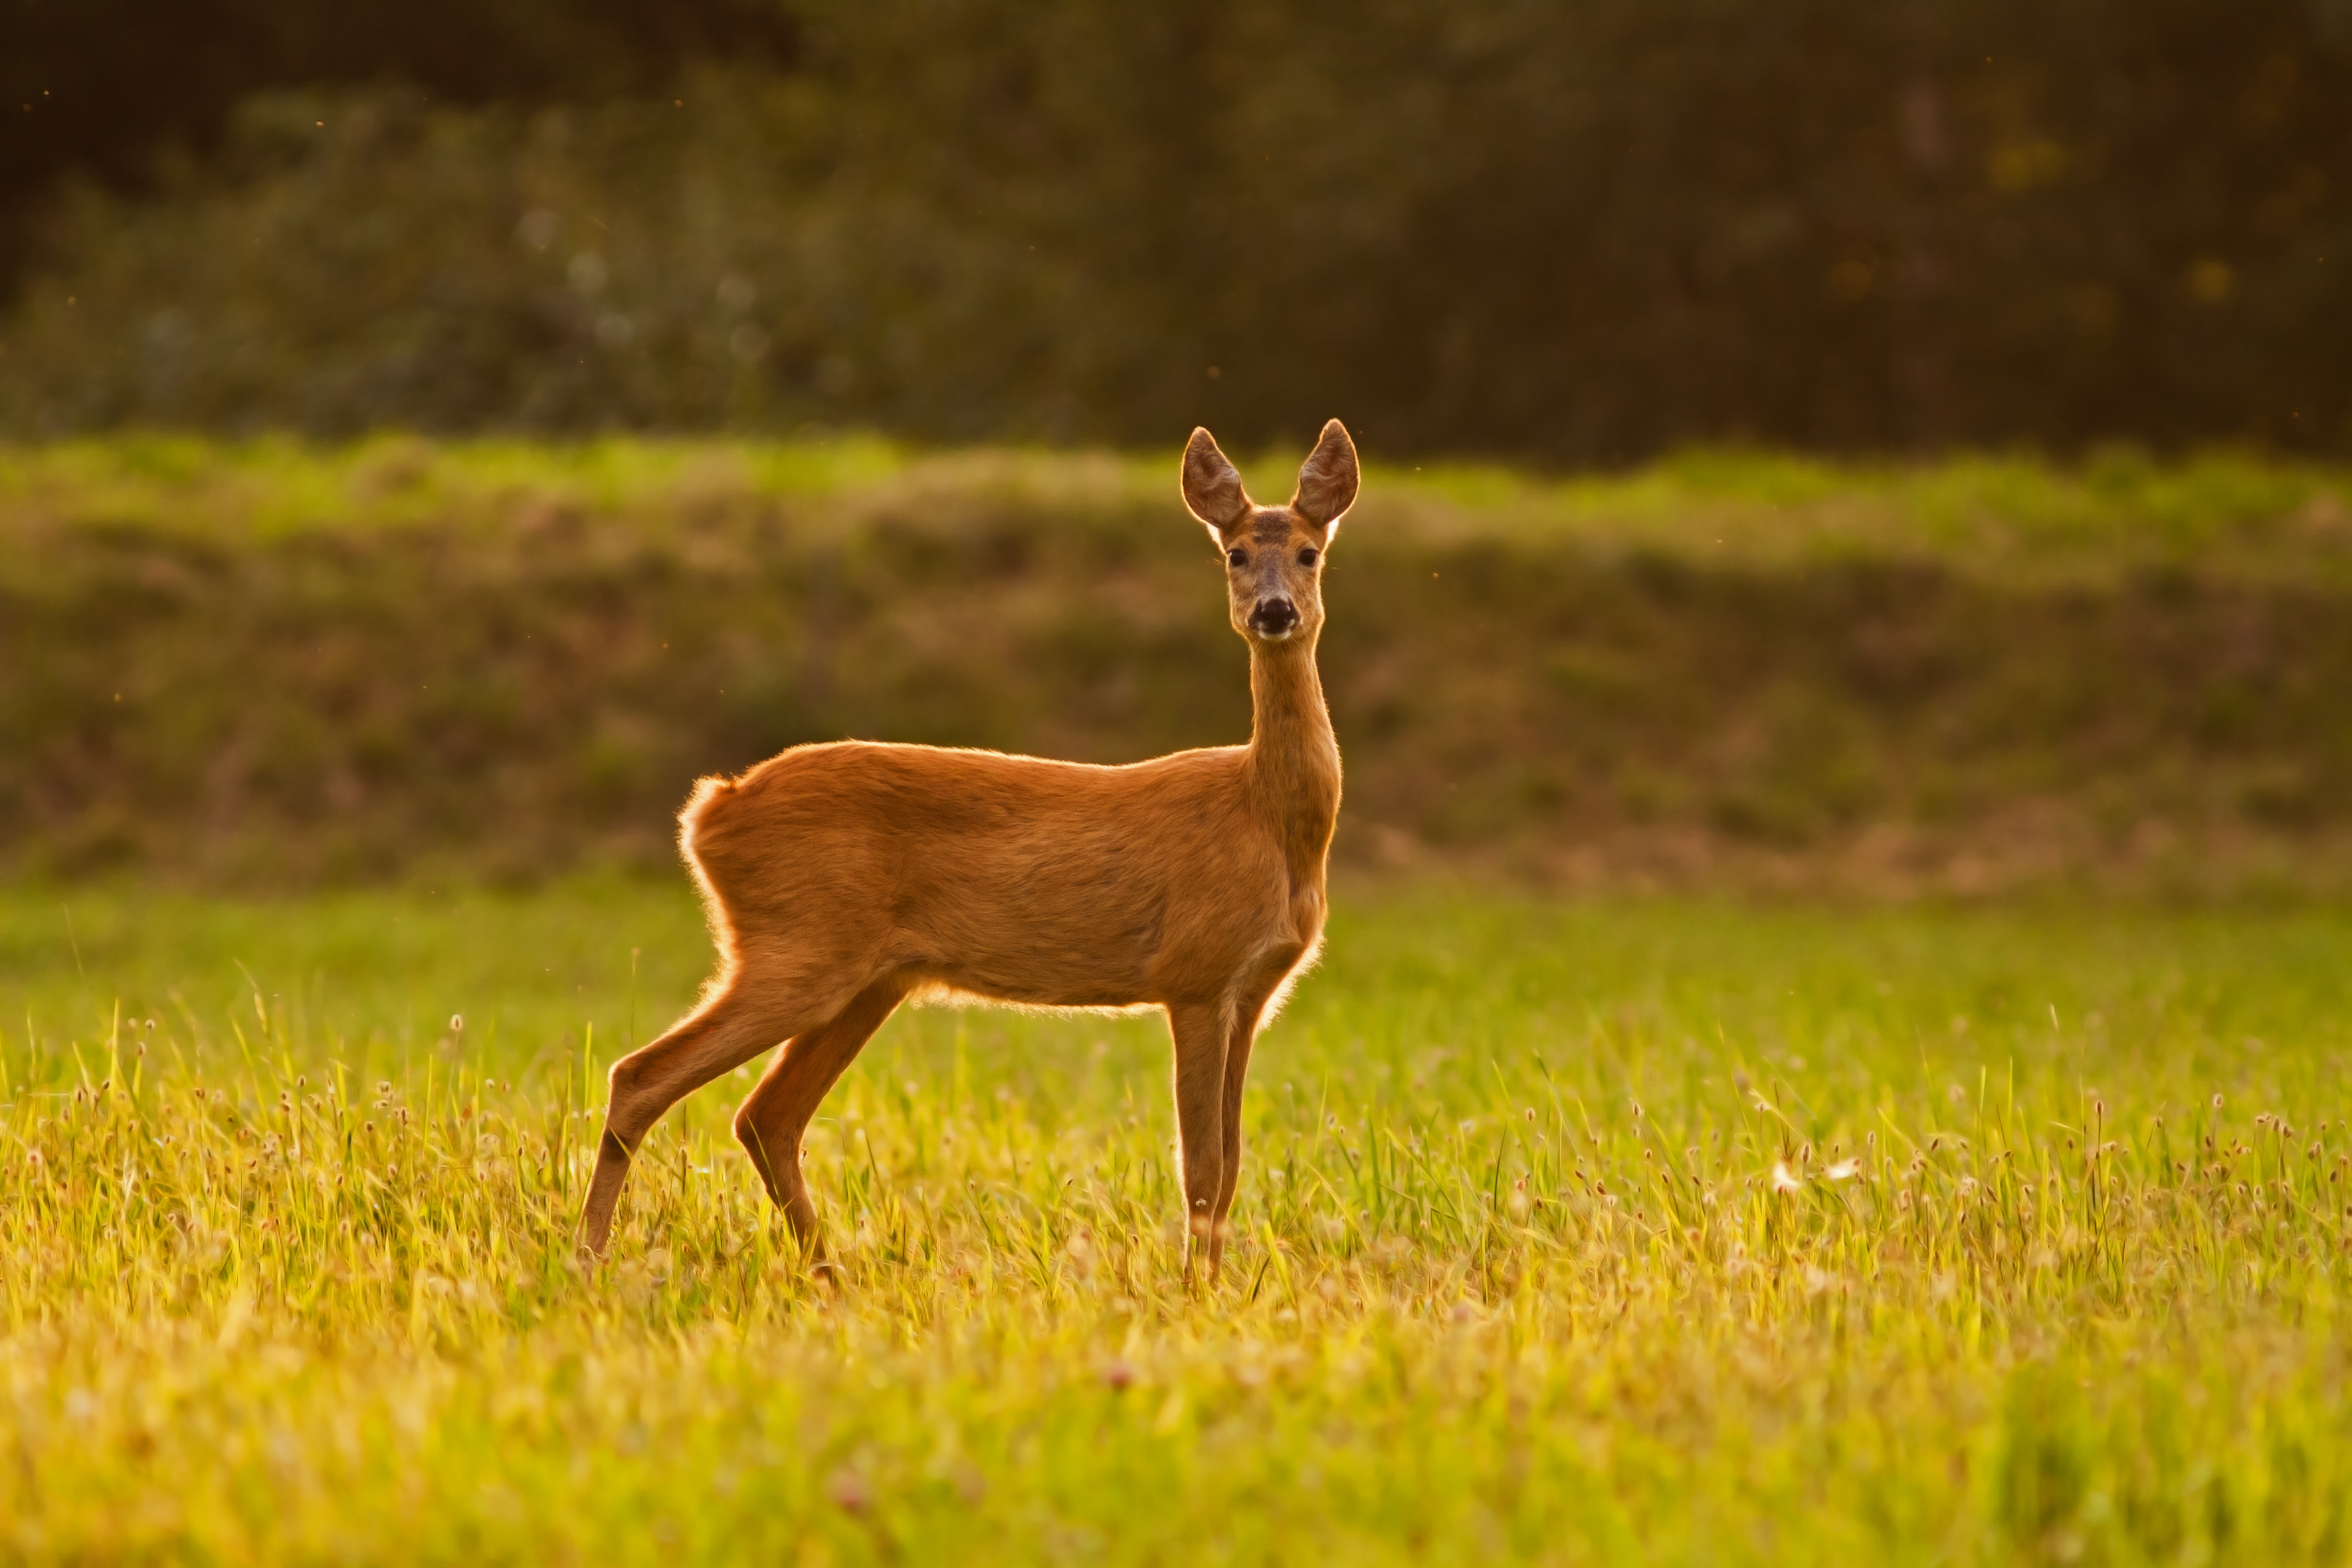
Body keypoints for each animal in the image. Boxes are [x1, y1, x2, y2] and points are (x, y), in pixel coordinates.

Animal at [576, 419, 1358, 1283]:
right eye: (1236, 554)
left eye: (1311, 552)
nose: (1275, 611)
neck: (1264, 816)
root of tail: (710, 809)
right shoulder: (1194, 973)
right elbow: (1203, 1167)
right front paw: (1193, 1294)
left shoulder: (1252, 991)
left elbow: (1232, 1164)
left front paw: (1216, 1289)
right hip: (799, 948)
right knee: (642, 1076)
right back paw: (588, 1262)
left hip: (868, 979)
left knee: (765, 1115)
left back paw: (830, 1279)